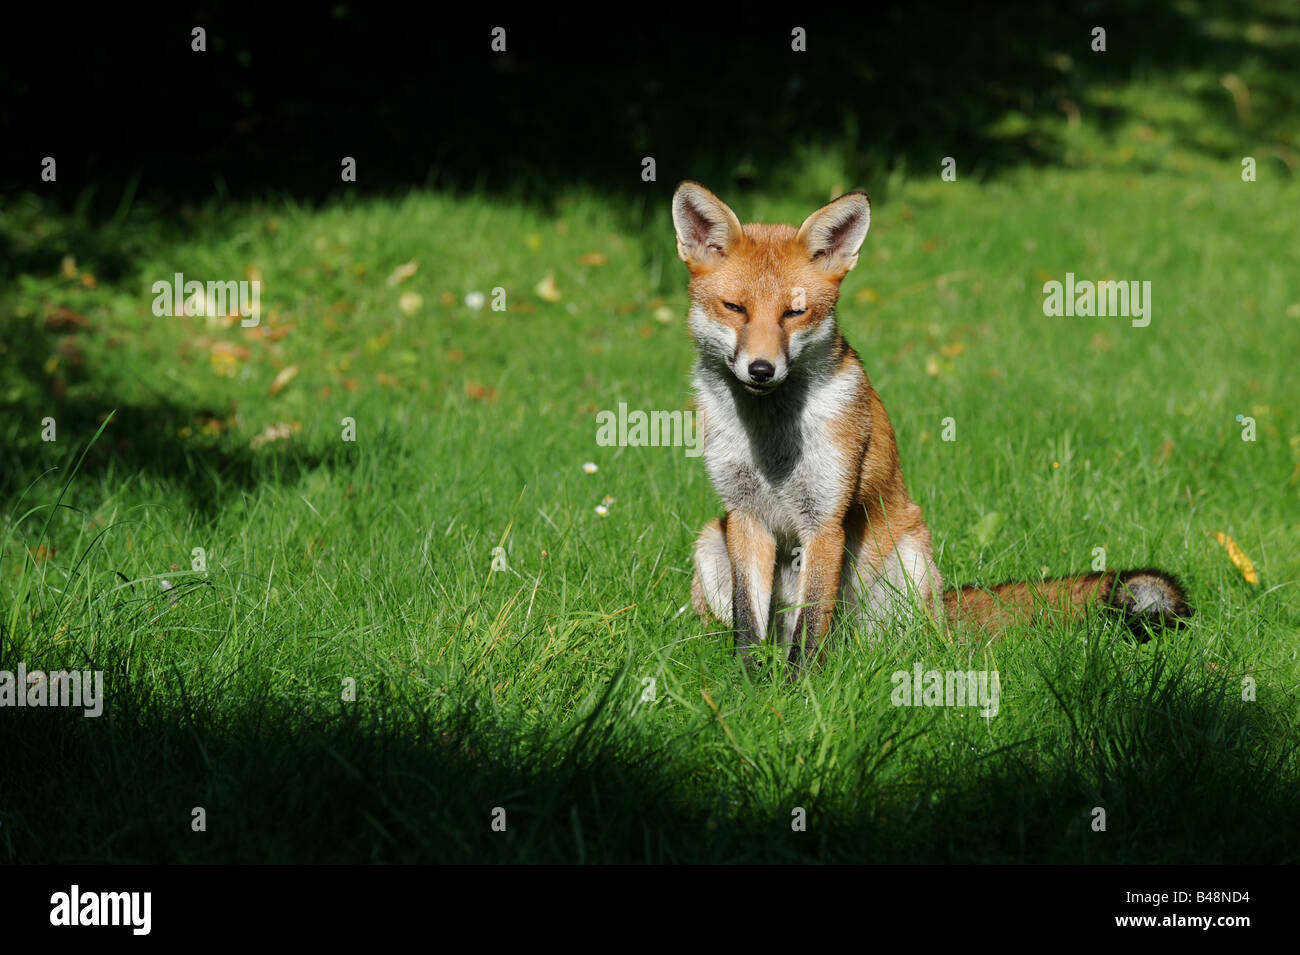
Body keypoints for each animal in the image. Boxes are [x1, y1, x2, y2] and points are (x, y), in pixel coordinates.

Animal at [673, 181, 1192, 669]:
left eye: (794, 312)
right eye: (735, 308)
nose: (762, 370)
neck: (771, 438)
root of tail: (944, 609)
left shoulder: (824, 520)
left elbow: (809, 632)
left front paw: (798, 693)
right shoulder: (745, 514)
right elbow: (747, 627)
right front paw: (750, 688)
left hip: (909, 561)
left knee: (892, 648)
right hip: (711, 539)